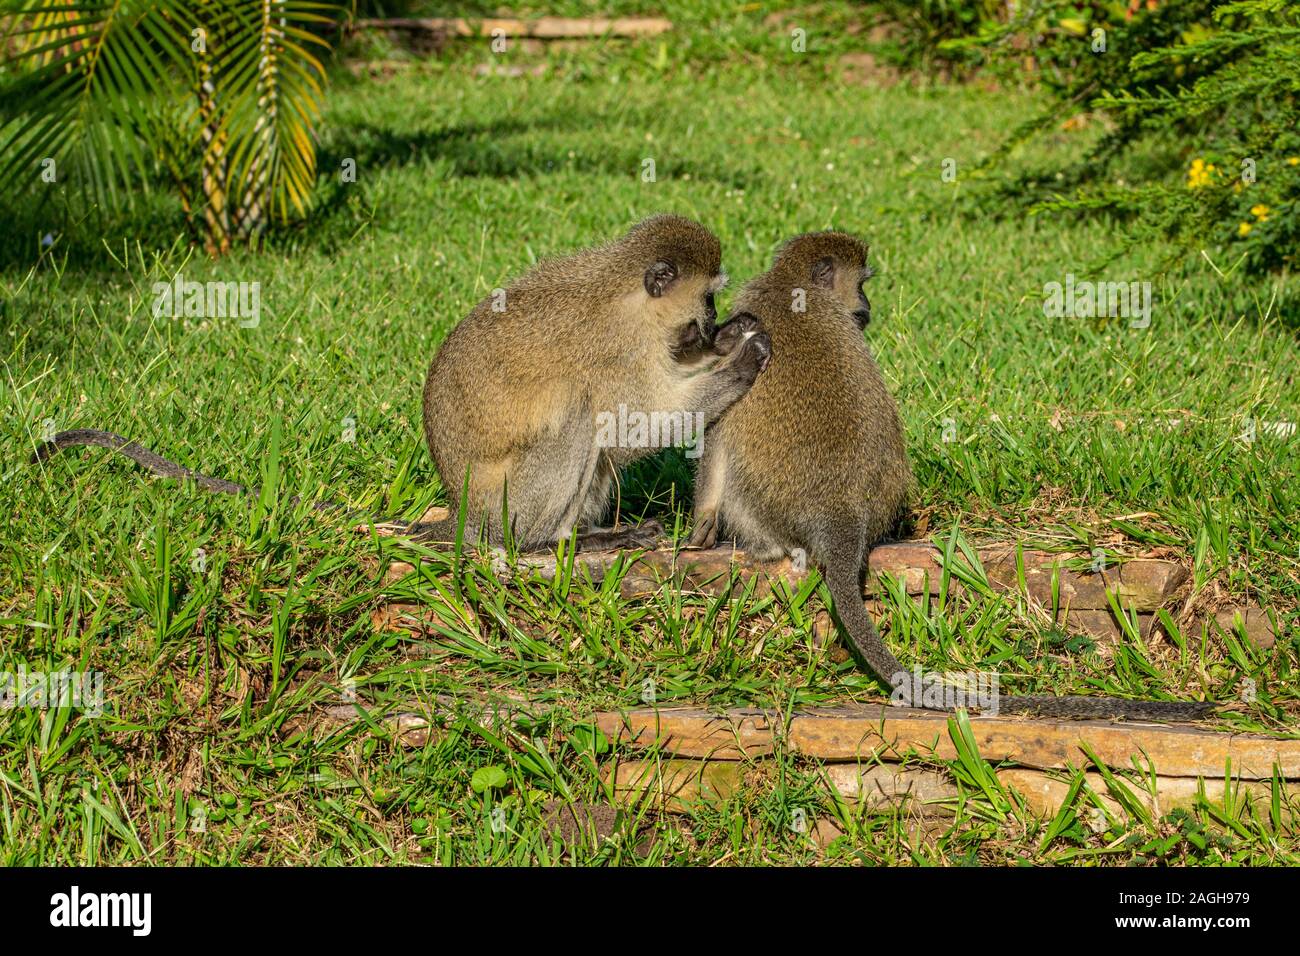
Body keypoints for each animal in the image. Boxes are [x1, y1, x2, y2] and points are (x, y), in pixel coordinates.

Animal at [418, 213, 772, 552]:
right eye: (709, 298)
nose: (711, 319)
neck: (627, 295)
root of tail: (467, 512)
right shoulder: (621, 349)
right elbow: (629, 436)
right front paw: (741, 364)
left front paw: (726, 337)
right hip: (506, 506)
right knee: (579, 417)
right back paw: (546, 541)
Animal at [688, 231, 1214, 721]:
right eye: (861, 284)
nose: (867, 308)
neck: (791, 285)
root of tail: (841, 513)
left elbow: (716, 436)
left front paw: (701, 526)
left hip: (764, 508)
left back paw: (757, 546)